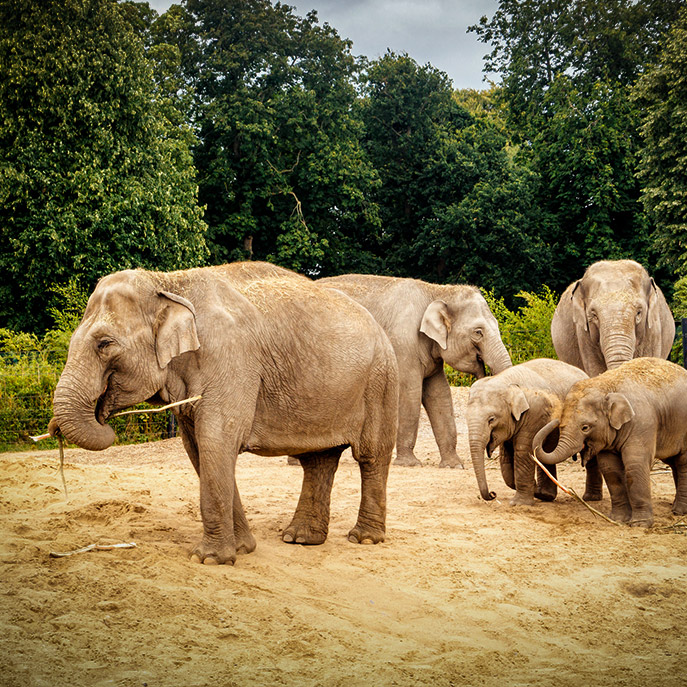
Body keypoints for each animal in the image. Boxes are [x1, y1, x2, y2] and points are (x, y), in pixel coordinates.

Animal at [48, 262, 399, 564]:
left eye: (105, 344)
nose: (53, 429)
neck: (170, 282)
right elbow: (199, 450)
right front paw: (242, 549)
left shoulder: (232, 360)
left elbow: (217, 440)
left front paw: (209, 559)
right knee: (318, 460)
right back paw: (300, 539)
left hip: (380, 381)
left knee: (371, 455)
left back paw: (363, 538)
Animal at [318, 274, 512, 468]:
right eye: (478, 332)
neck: (437, 291)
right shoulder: (403, 345)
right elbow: (410, 393)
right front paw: (409, 464)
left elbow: (440, 395)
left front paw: (453, 465)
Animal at [467, 358, 603, 506]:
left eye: (491, 419)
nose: (493, 494)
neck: (505, 381)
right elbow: (506, 456)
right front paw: (533, 488)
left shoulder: (535, 413)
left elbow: (523, 451)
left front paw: (519, 503)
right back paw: (546, 495)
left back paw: (591, 498)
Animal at [533, 358, 687, 527]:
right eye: (561, 424)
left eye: (585, 427)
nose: (553, 419)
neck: (607, 385)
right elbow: (610, 469)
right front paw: (618, 520)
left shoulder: (643, 423)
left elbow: (635, 464)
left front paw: (639, 524)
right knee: (675, 462)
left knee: (683, 463)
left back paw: (679, 511)